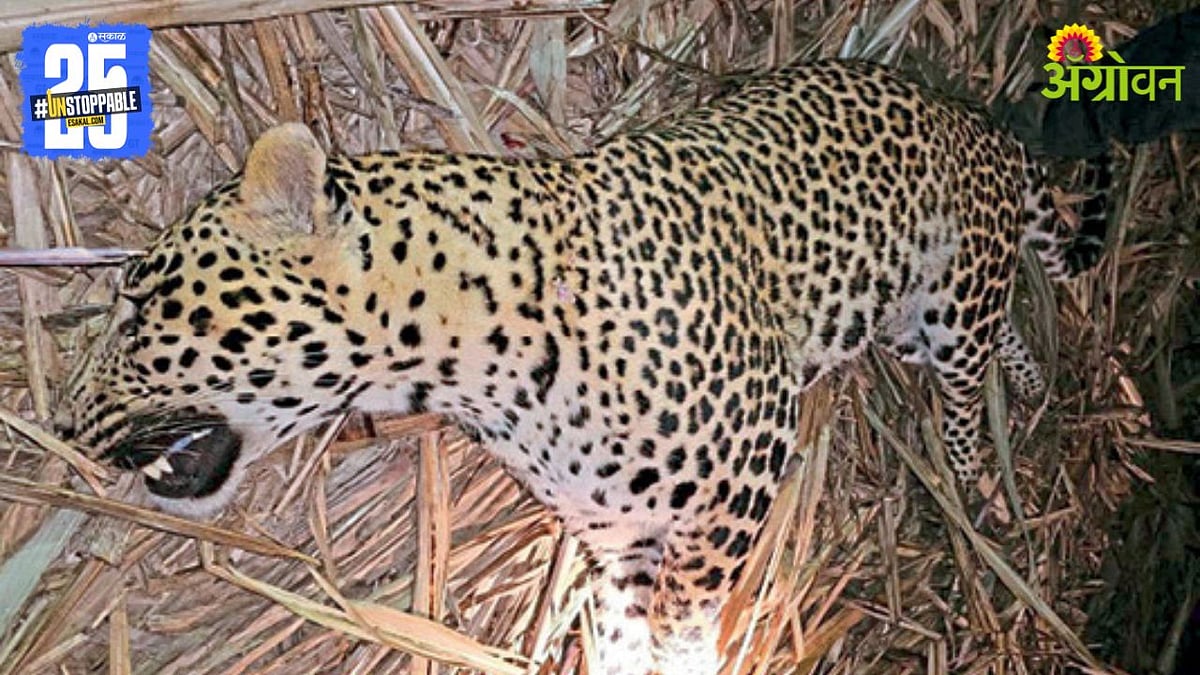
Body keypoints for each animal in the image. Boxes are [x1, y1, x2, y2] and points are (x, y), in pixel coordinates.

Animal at [57, 59, 1109, 675]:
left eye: (141, 303)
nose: (63, 424)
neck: (469, 367)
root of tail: (976, 119)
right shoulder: (614, 530)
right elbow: (620, 632)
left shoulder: (742, 468)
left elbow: (683, 627)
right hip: (906, 316)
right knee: (998, 328)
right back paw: (1031, 381)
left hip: (947, 293)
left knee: (967, 379)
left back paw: (980, 477)